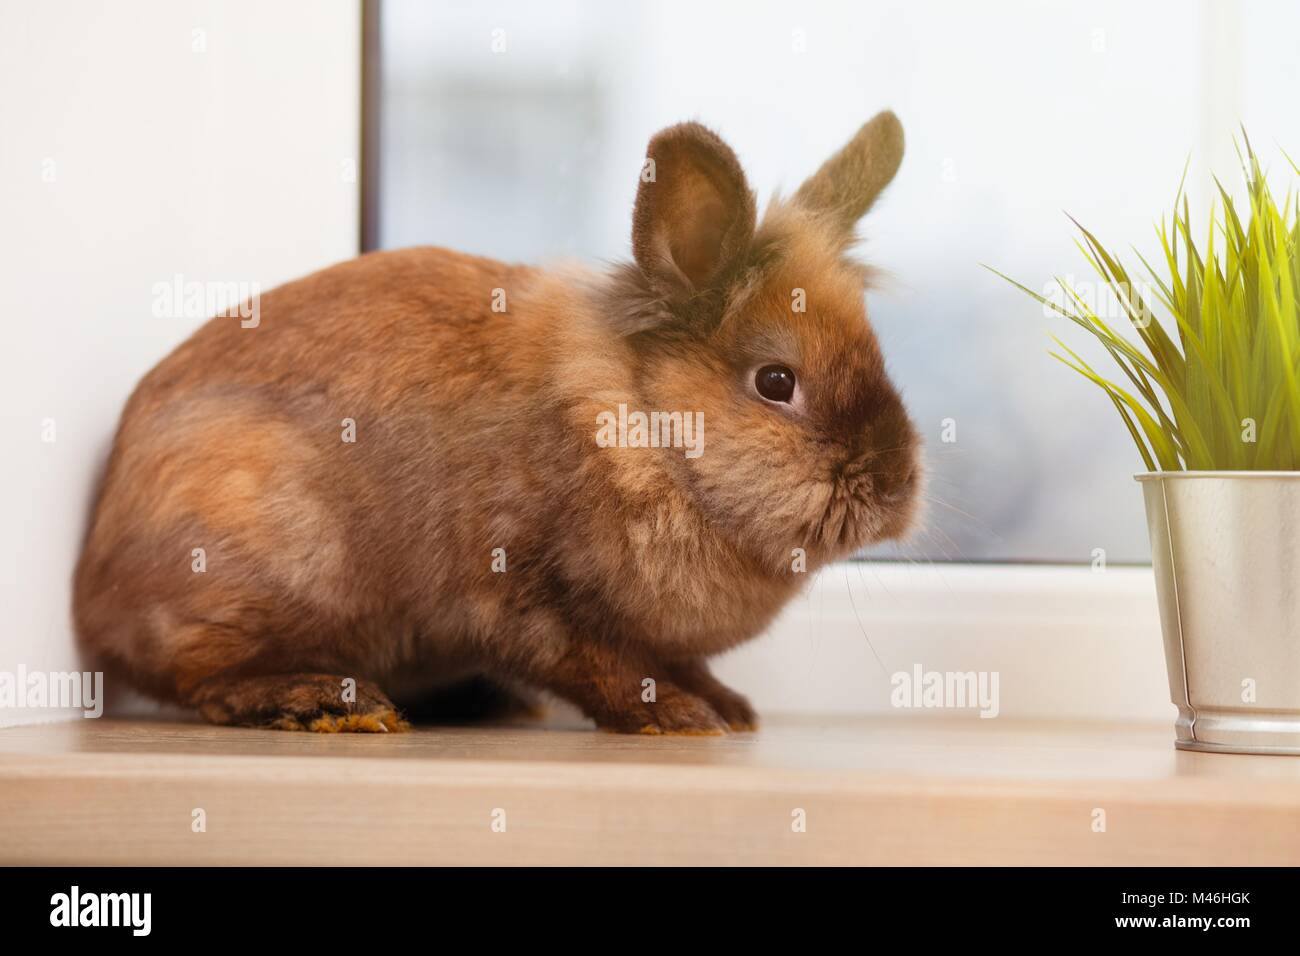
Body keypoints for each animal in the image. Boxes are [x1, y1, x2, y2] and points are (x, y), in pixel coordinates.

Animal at [72, 111, 921, 734]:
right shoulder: (522, 600)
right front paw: (682, 718)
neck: (643, 432)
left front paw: (729, 708)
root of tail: (92, 590)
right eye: (776, 382)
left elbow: (674, 661)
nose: (896, 486)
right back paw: (320, 699)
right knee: (198, 677)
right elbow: (603, 667)